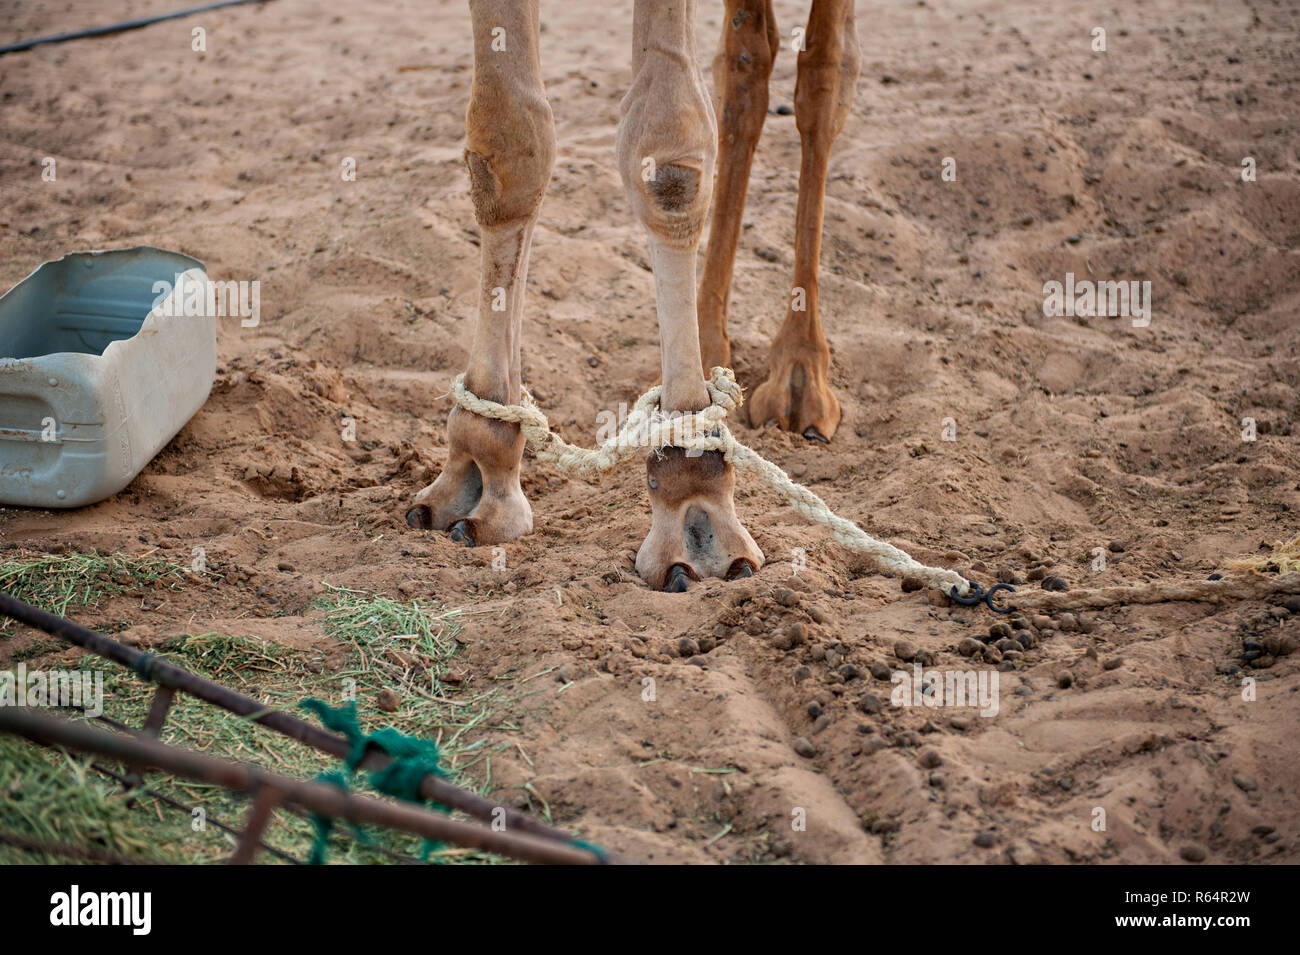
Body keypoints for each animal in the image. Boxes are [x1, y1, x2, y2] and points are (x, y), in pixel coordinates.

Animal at [405, 0, 861, 592]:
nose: (476, 470)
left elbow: (667, 160)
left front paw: (695, 499)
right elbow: (506, 142)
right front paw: (479, 468)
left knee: (824, 72)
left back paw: (800, 376)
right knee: (745, 64)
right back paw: (712, 342)